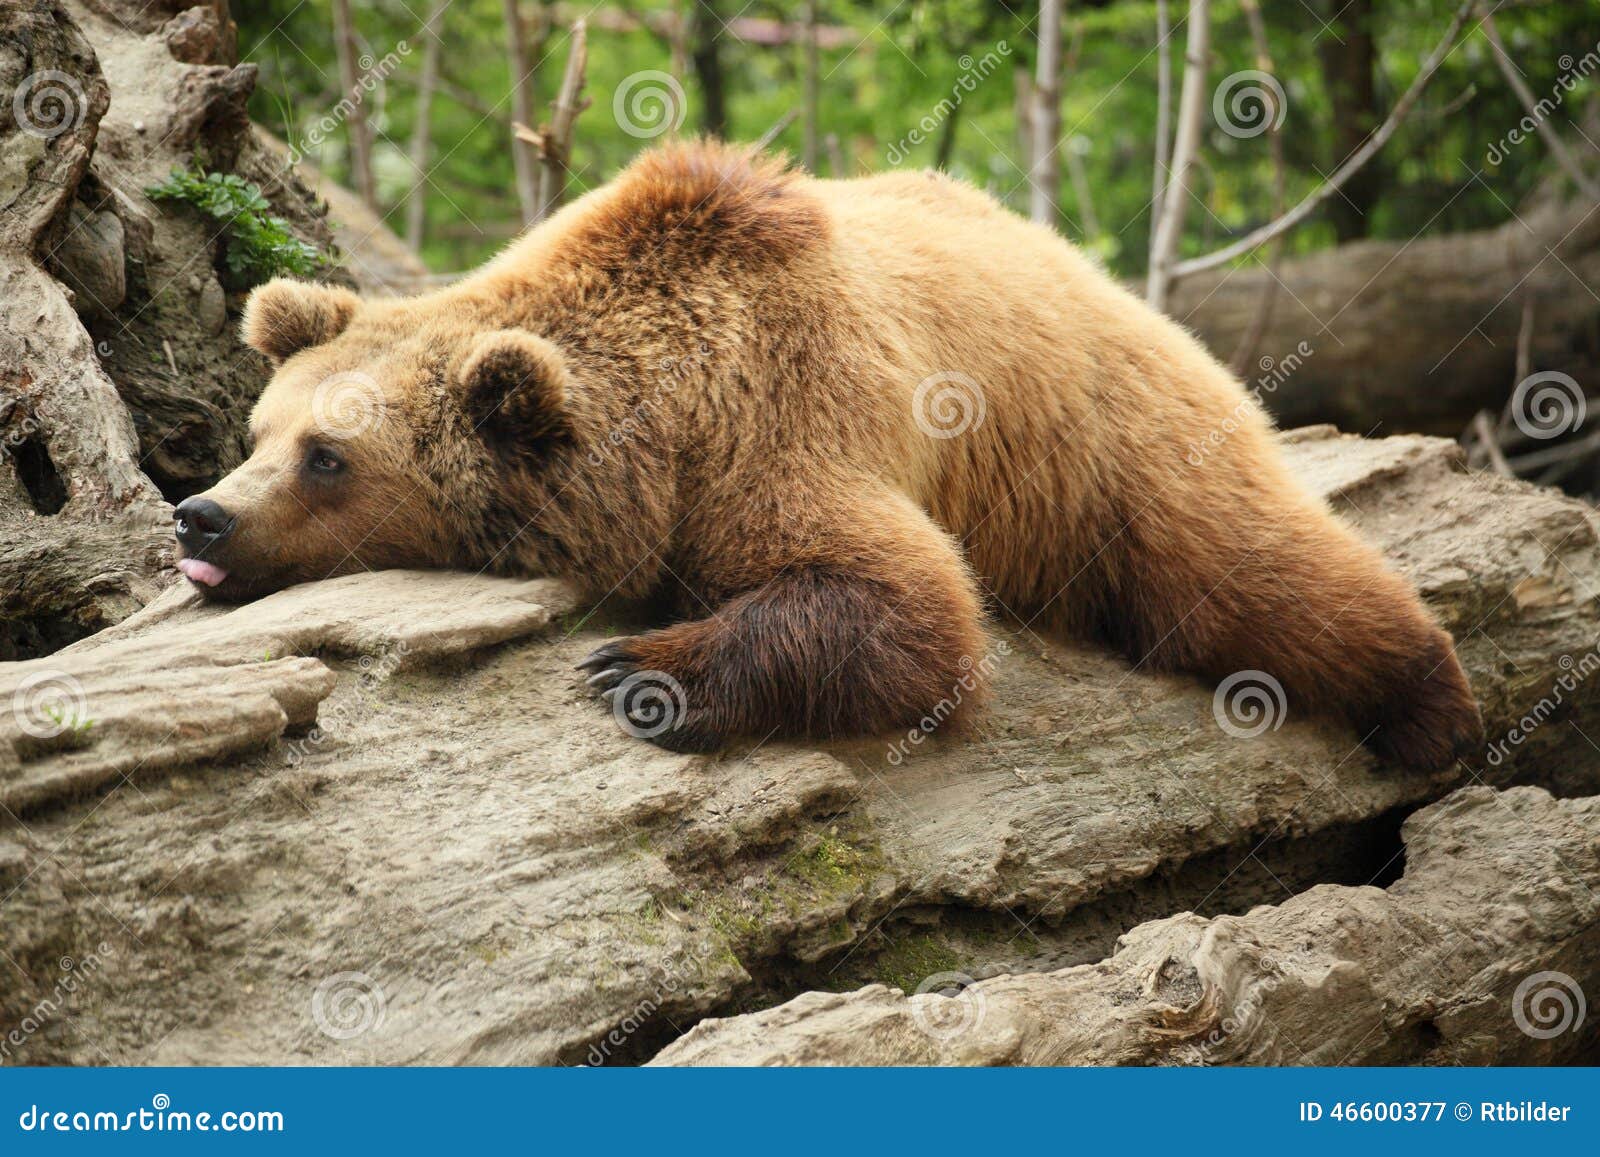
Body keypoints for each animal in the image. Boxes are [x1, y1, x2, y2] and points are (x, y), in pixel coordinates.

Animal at [172, 139, 1481, 769]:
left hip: (1113, 445)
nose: (201, 516)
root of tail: (1090, 269)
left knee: (1250, 576)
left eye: (329, 457)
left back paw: (1433, 705)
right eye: (259, 431)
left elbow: (904, 603)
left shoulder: (780, 419)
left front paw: (641, 671)